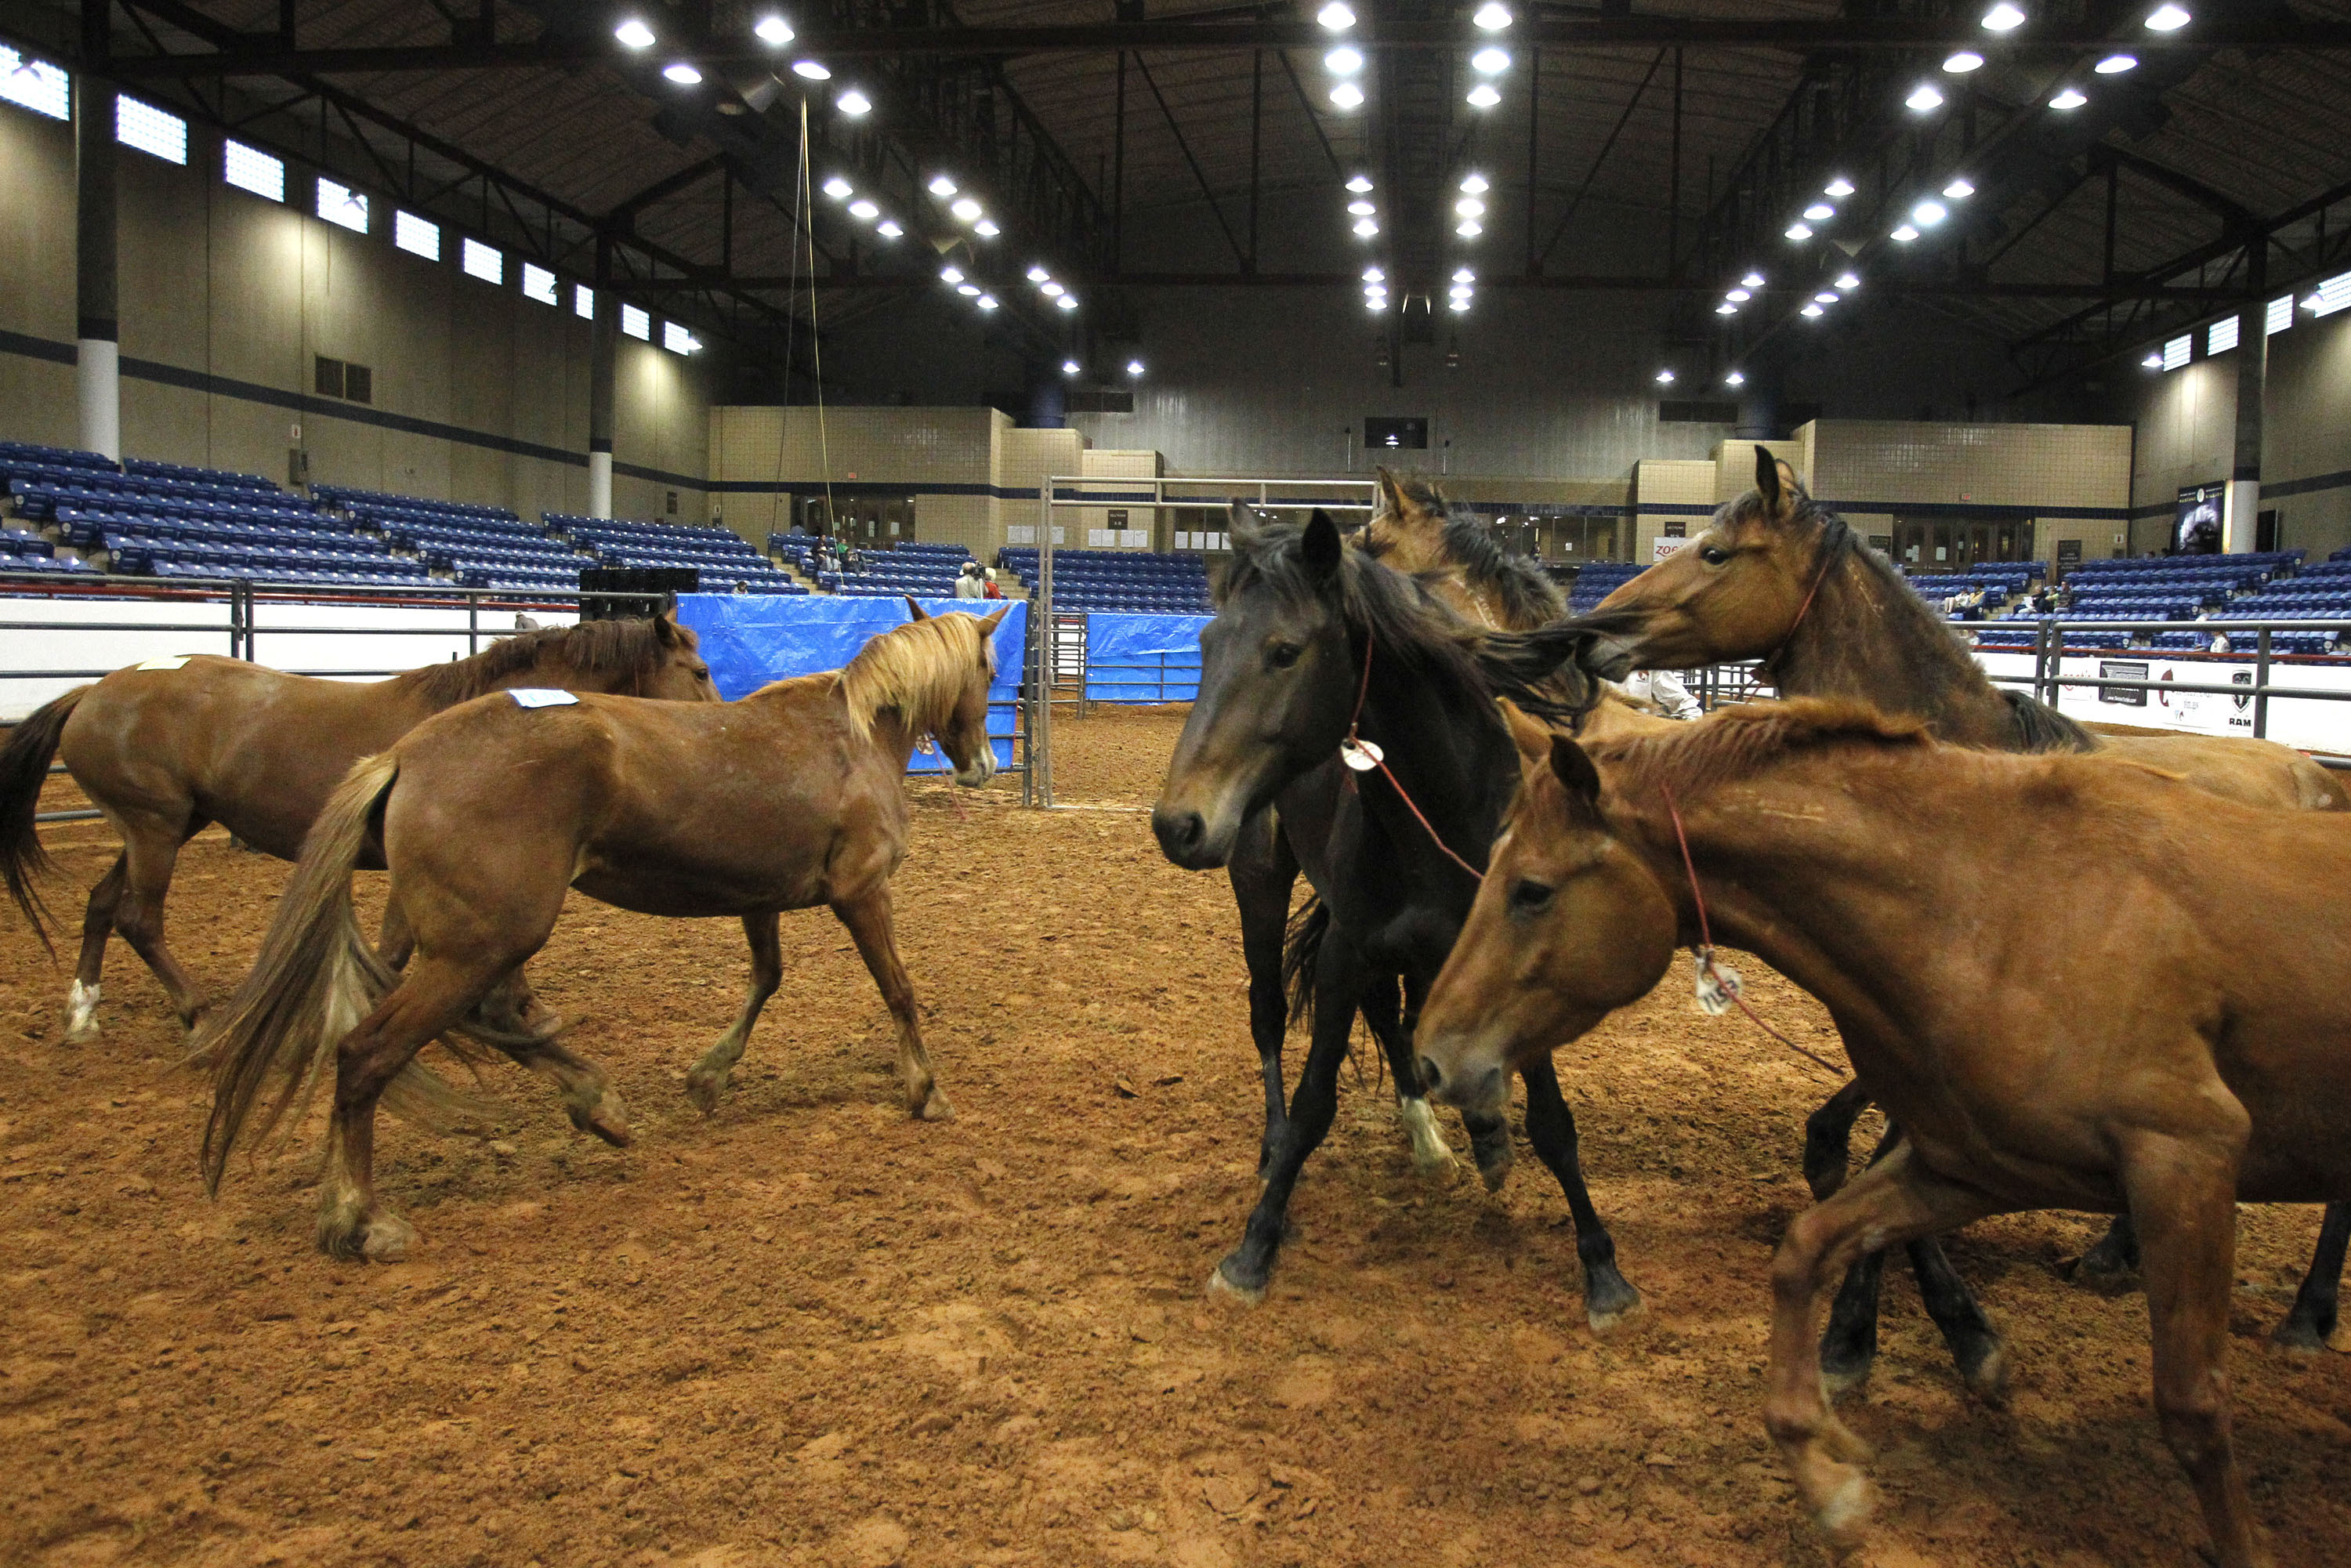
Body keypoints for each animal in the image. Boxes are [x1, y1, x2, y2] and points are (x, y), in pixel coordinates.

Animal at [0, 608, 720, 1038]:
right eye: (701, 671)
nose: (722, 718)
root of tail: (90, 693)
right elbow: (418, 946)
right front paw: (515, 1009)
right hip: (155, 827)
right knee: (137, 918)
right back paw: (199, 1013)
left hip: (160, 825)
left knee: (101, 903)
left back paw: (83, 1011)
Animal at [195, 602, 1007, 1262]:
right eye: (991, 670)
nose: (984, 764)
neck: (855, 737)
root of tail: (404, 755)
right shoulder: (862, 892)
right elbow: (897, 987)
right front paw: (926, 1089)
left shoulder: (758, 895)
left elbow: (767, 977)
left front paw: (709, 1076)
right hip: (484, 943)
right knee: (368, 1052)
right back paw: (359, 1220)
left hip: (477, 941)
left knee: (486, 1017)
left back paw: (597, 1104)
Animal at [1150, 508, 1644, 1325]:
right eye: (1206, 644)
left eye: (1284, 650)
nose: (1177, 823)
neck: (1442, 809)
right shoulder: (1345, 952)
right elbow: (1314, 1104)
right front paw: (1254, 1247)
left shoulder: (1507, 952)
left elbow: (1552, 1122)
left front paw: (1604, 1269)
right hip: (1261, 884)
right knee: (1271, 1015)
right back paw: (1280, 1146)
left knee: (1397, 1017)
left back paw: (1447, 1140)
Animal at [1410, 697, 2351, 1568]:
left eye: (1532, 889)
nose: (1427, 1060)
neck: (2003, 903)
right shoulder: (1976, 1168)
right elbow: (1805, 1248)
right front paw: (1832, 1475)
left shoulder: (2185, 1161)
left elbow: (2192, 1405)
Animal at [1579, 446, 2349, 1359]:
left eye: (1716, 552)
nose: (1593, 630)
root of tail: (2315, 777)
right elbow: (1846, 1145)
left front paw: (1877, 1329)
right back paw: (2118, 1252)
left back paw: (2305, 1315)